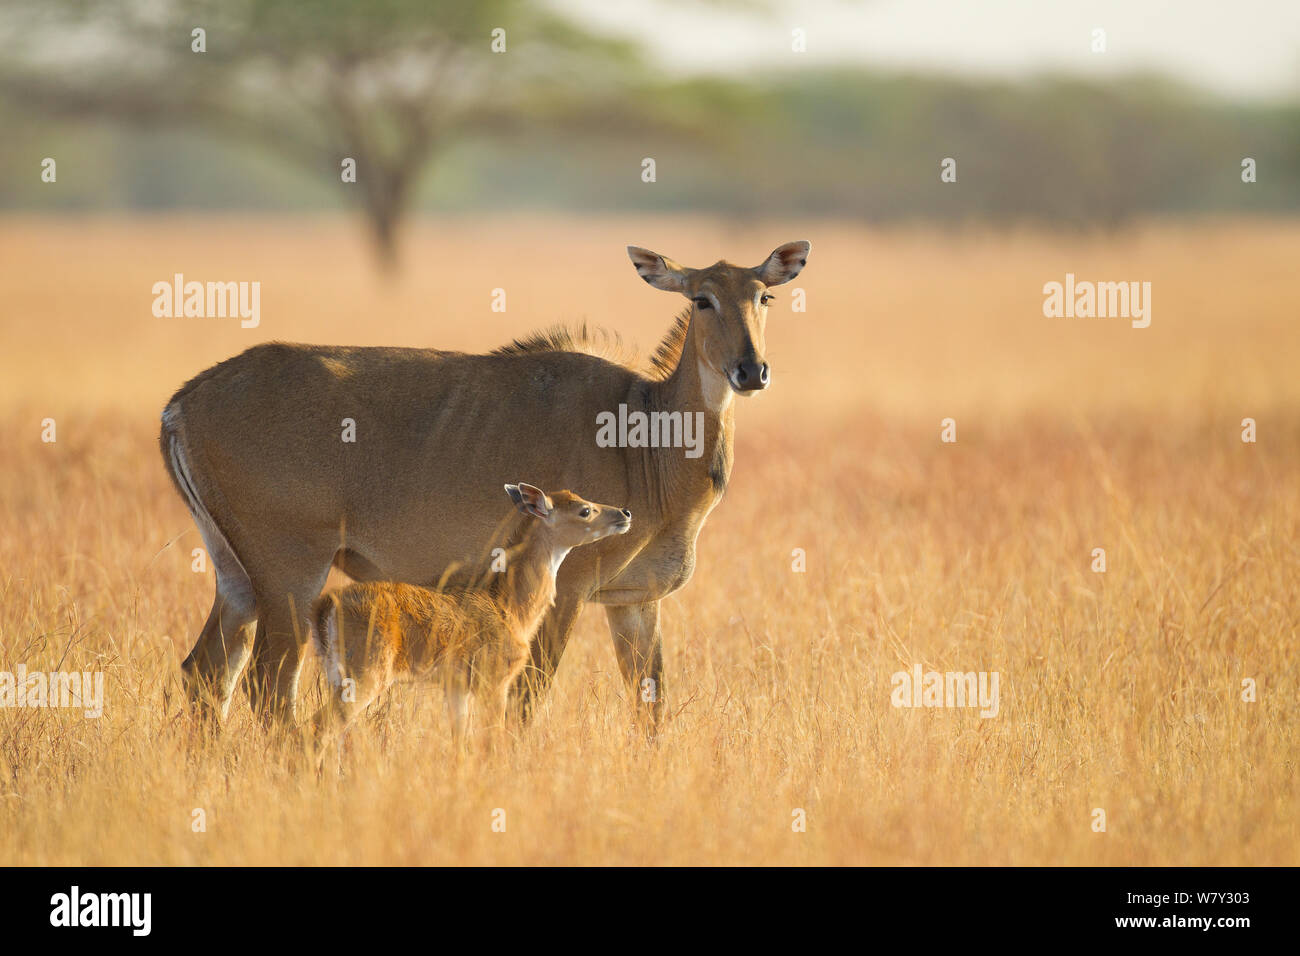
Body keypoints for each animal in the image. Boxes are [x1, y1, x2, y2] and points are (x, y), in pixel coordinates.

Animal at [160, 240, 811, 728]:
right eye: (702, 298)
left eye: (764, 295)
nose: (751, 370)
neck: (644, 435)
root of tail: (183, 402)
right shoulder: (567, 591)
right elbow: (529, 699)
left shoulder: (635, 603)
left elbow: (650, 705)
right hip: (290, 575)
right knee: (270, 686)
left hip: (237, 577)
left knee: (206, 672)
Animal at [311, 483, 631, 758]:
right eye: (585, 510)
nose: (625, 513)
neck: (511, 608)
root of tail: (325, 606)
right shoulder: (496, 677)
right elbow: (493, 740)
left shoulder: (456, 685)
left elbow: (460, 742)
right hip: (367, 669)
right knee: (317, 728)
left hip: (334, 670)